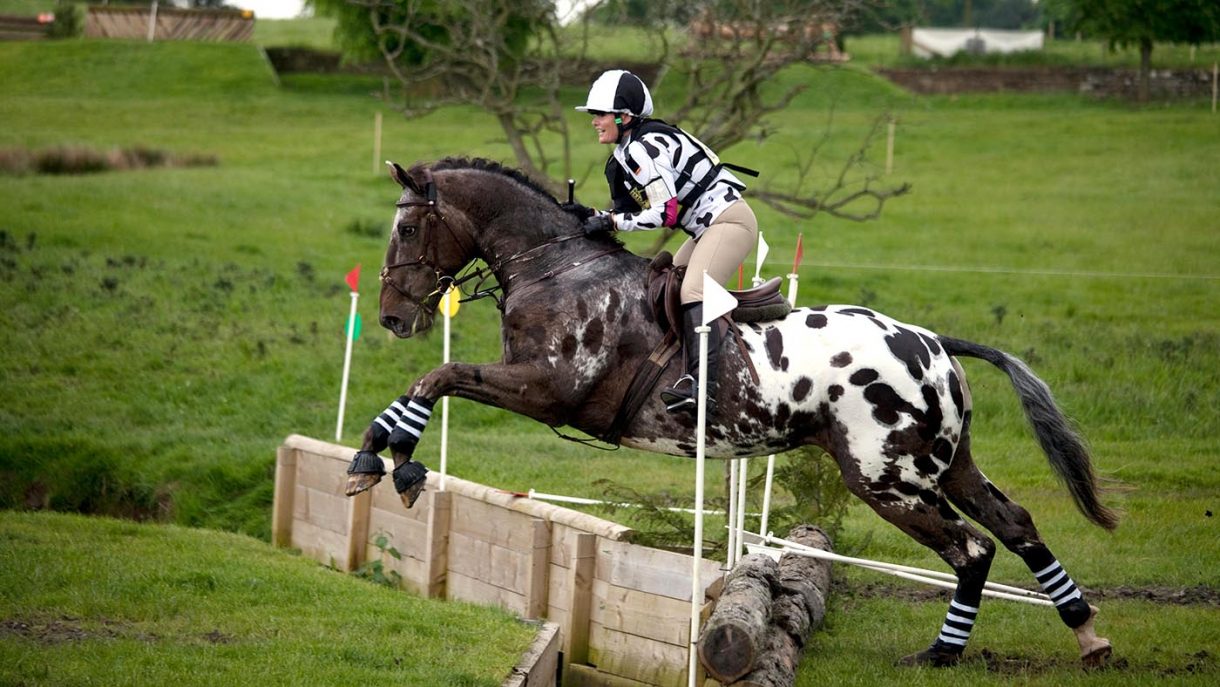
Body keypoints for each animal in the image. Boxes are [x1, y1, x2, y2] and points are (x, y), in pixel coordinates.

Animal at [343, 156, 1117, 668]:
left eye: (406, 230)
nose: (391, 317)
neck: (555, 268)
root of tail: (931, 342)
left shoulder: (549, 388)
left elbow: (437, 376)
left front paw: (387, 460)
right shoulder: (535, 386)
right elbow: (434, 379)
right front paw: (382, 458)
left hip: (887, 478)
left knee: (973, 548)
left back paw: (940, 654)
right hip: (946, 465)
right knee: (1015, 524)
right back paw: (1088, 634)